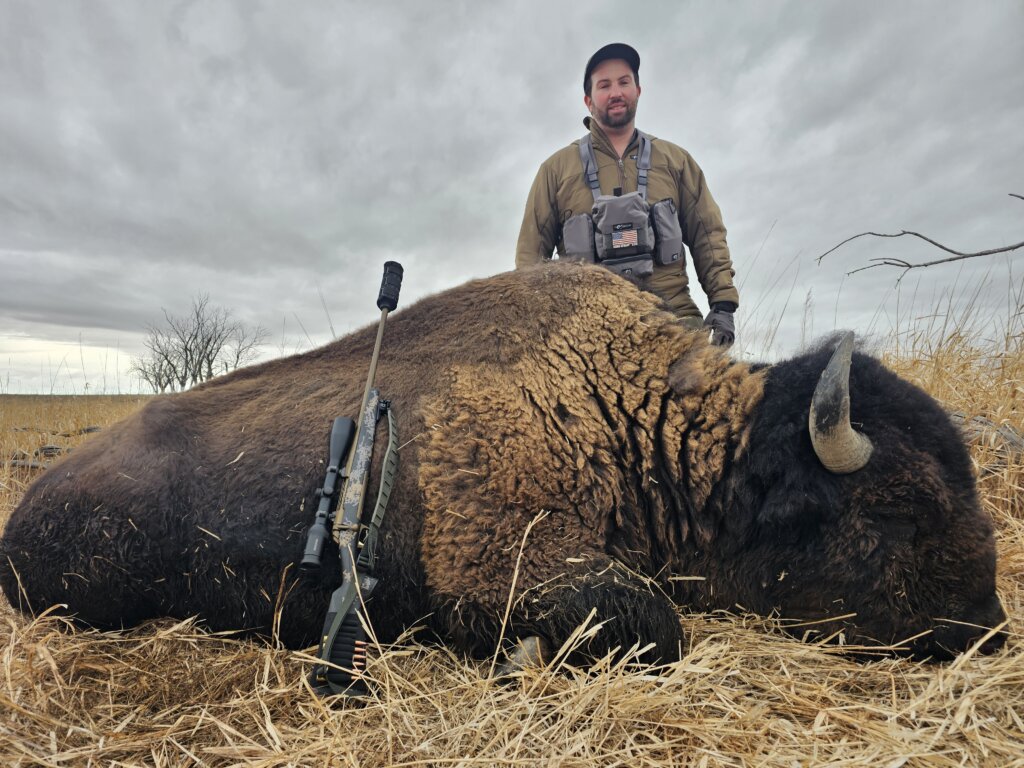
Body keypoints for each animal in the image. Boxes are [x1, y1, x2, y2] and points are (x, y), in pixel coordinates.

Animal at [0, 264, 1008, 665]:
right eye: (895, 513)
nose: (988, 629)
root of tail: (22, 512)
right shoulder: (502, 561)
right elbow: (660, 625)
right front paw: (522, 656)